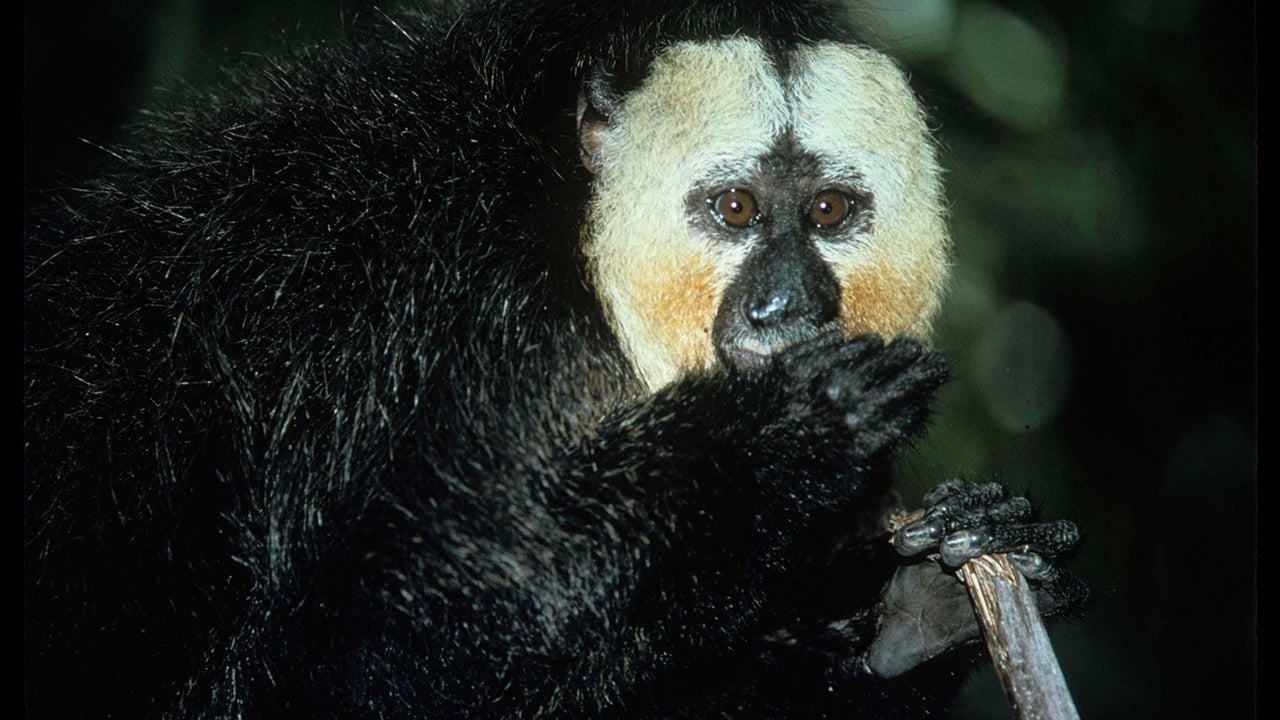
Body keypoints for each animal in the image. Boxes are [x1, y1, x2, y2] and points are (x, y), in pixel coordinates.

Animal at [23, 1, 1085, 718]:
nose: (790, 306)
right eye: (735, 209)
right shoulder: (425, 327)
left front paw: (923, 617)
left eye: (828, 212)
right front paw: (768, 443)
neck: (577, 264)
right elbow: (347, 665)